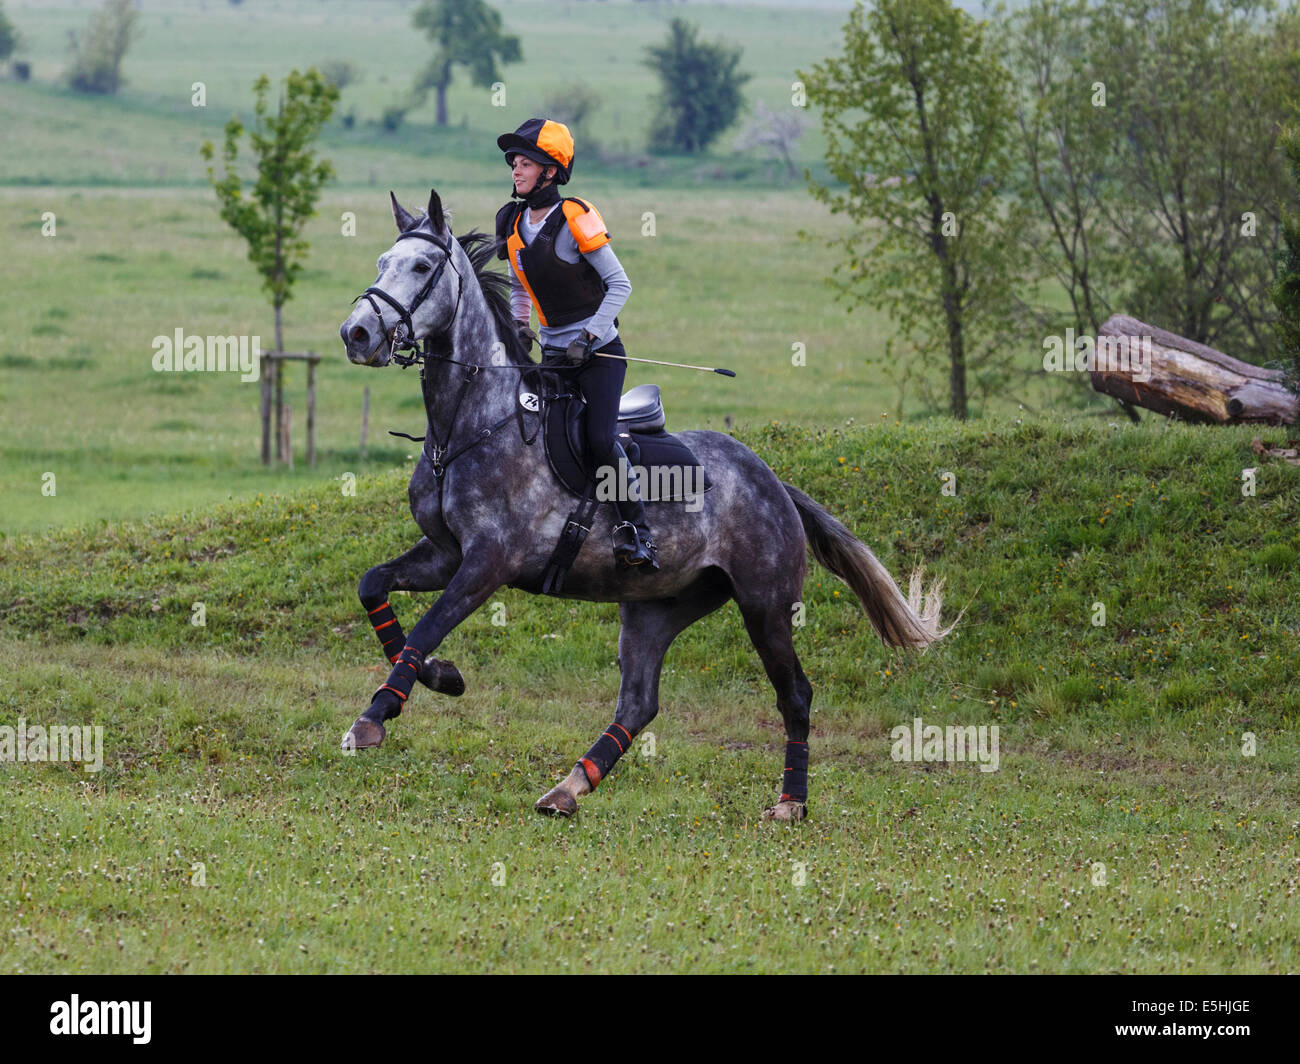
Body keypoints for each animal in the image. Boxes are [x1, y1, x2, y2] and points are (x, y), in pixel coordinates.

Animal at [336, 189, 954, 821]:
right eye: (382, 262)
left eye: (420, 267)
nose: (355, 334)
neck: (474, 423)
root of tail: (773, 482)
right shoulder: (444, 553)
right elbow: (374, 588)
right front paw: (442, 678)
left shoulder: (488, 562)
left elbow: (426, 628)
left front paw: (372, 719)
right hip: (656, 608)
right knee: (638, 702)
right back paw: (569, 787)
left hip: (764, 603)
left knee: (795, 694)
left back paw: (790, 803)